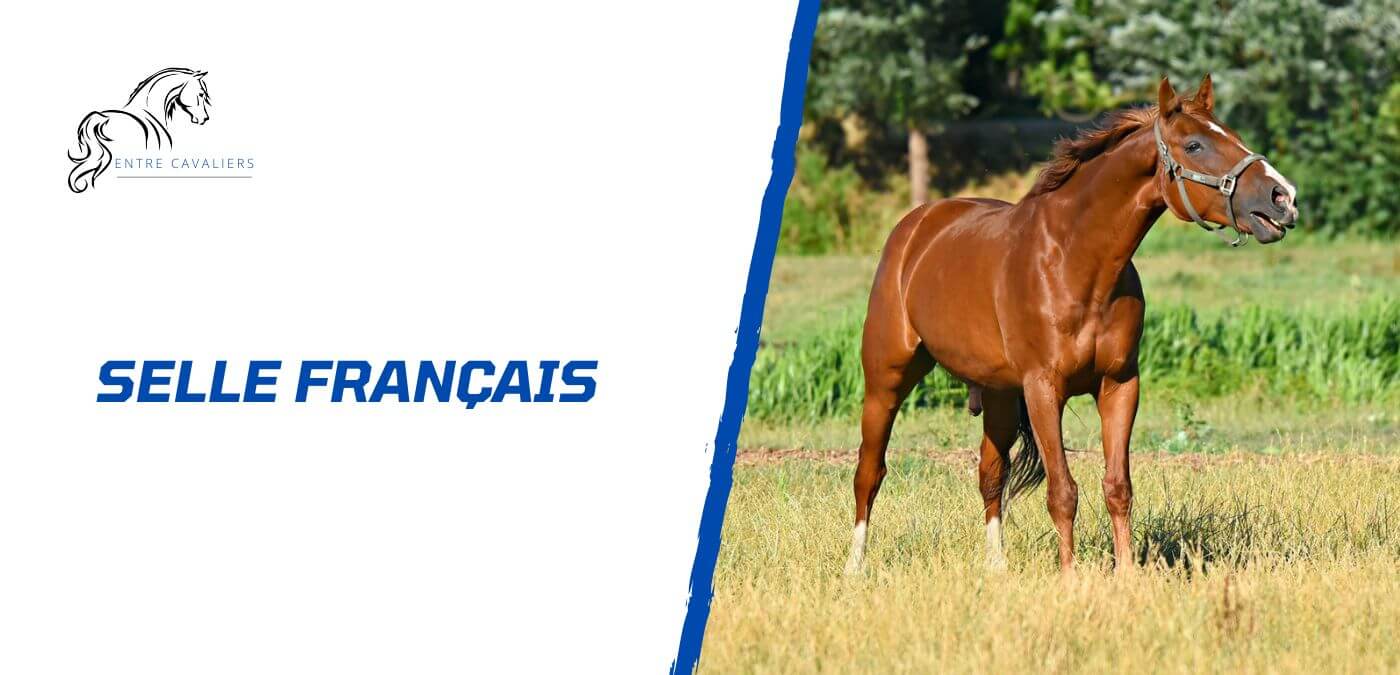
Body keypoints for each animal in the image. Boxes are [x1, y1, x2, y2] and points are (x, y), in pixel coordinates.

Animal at [843, 75, 1299, 575]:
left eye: (1233, 134)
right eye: (1195, 144)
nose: (1283, 197)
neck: (1076, 262)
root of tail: (916, 226)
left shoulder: (1119, 384)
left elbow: (1117, 487)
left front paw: (1126, 574)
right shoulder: (1044, 388)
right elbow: (1062, 492)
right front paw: (1069, 577)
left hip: (999, 396)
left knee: (990, 474)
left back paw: (996, 567)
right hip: (887, 378)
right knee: (870, 470)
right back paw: (854, 567)